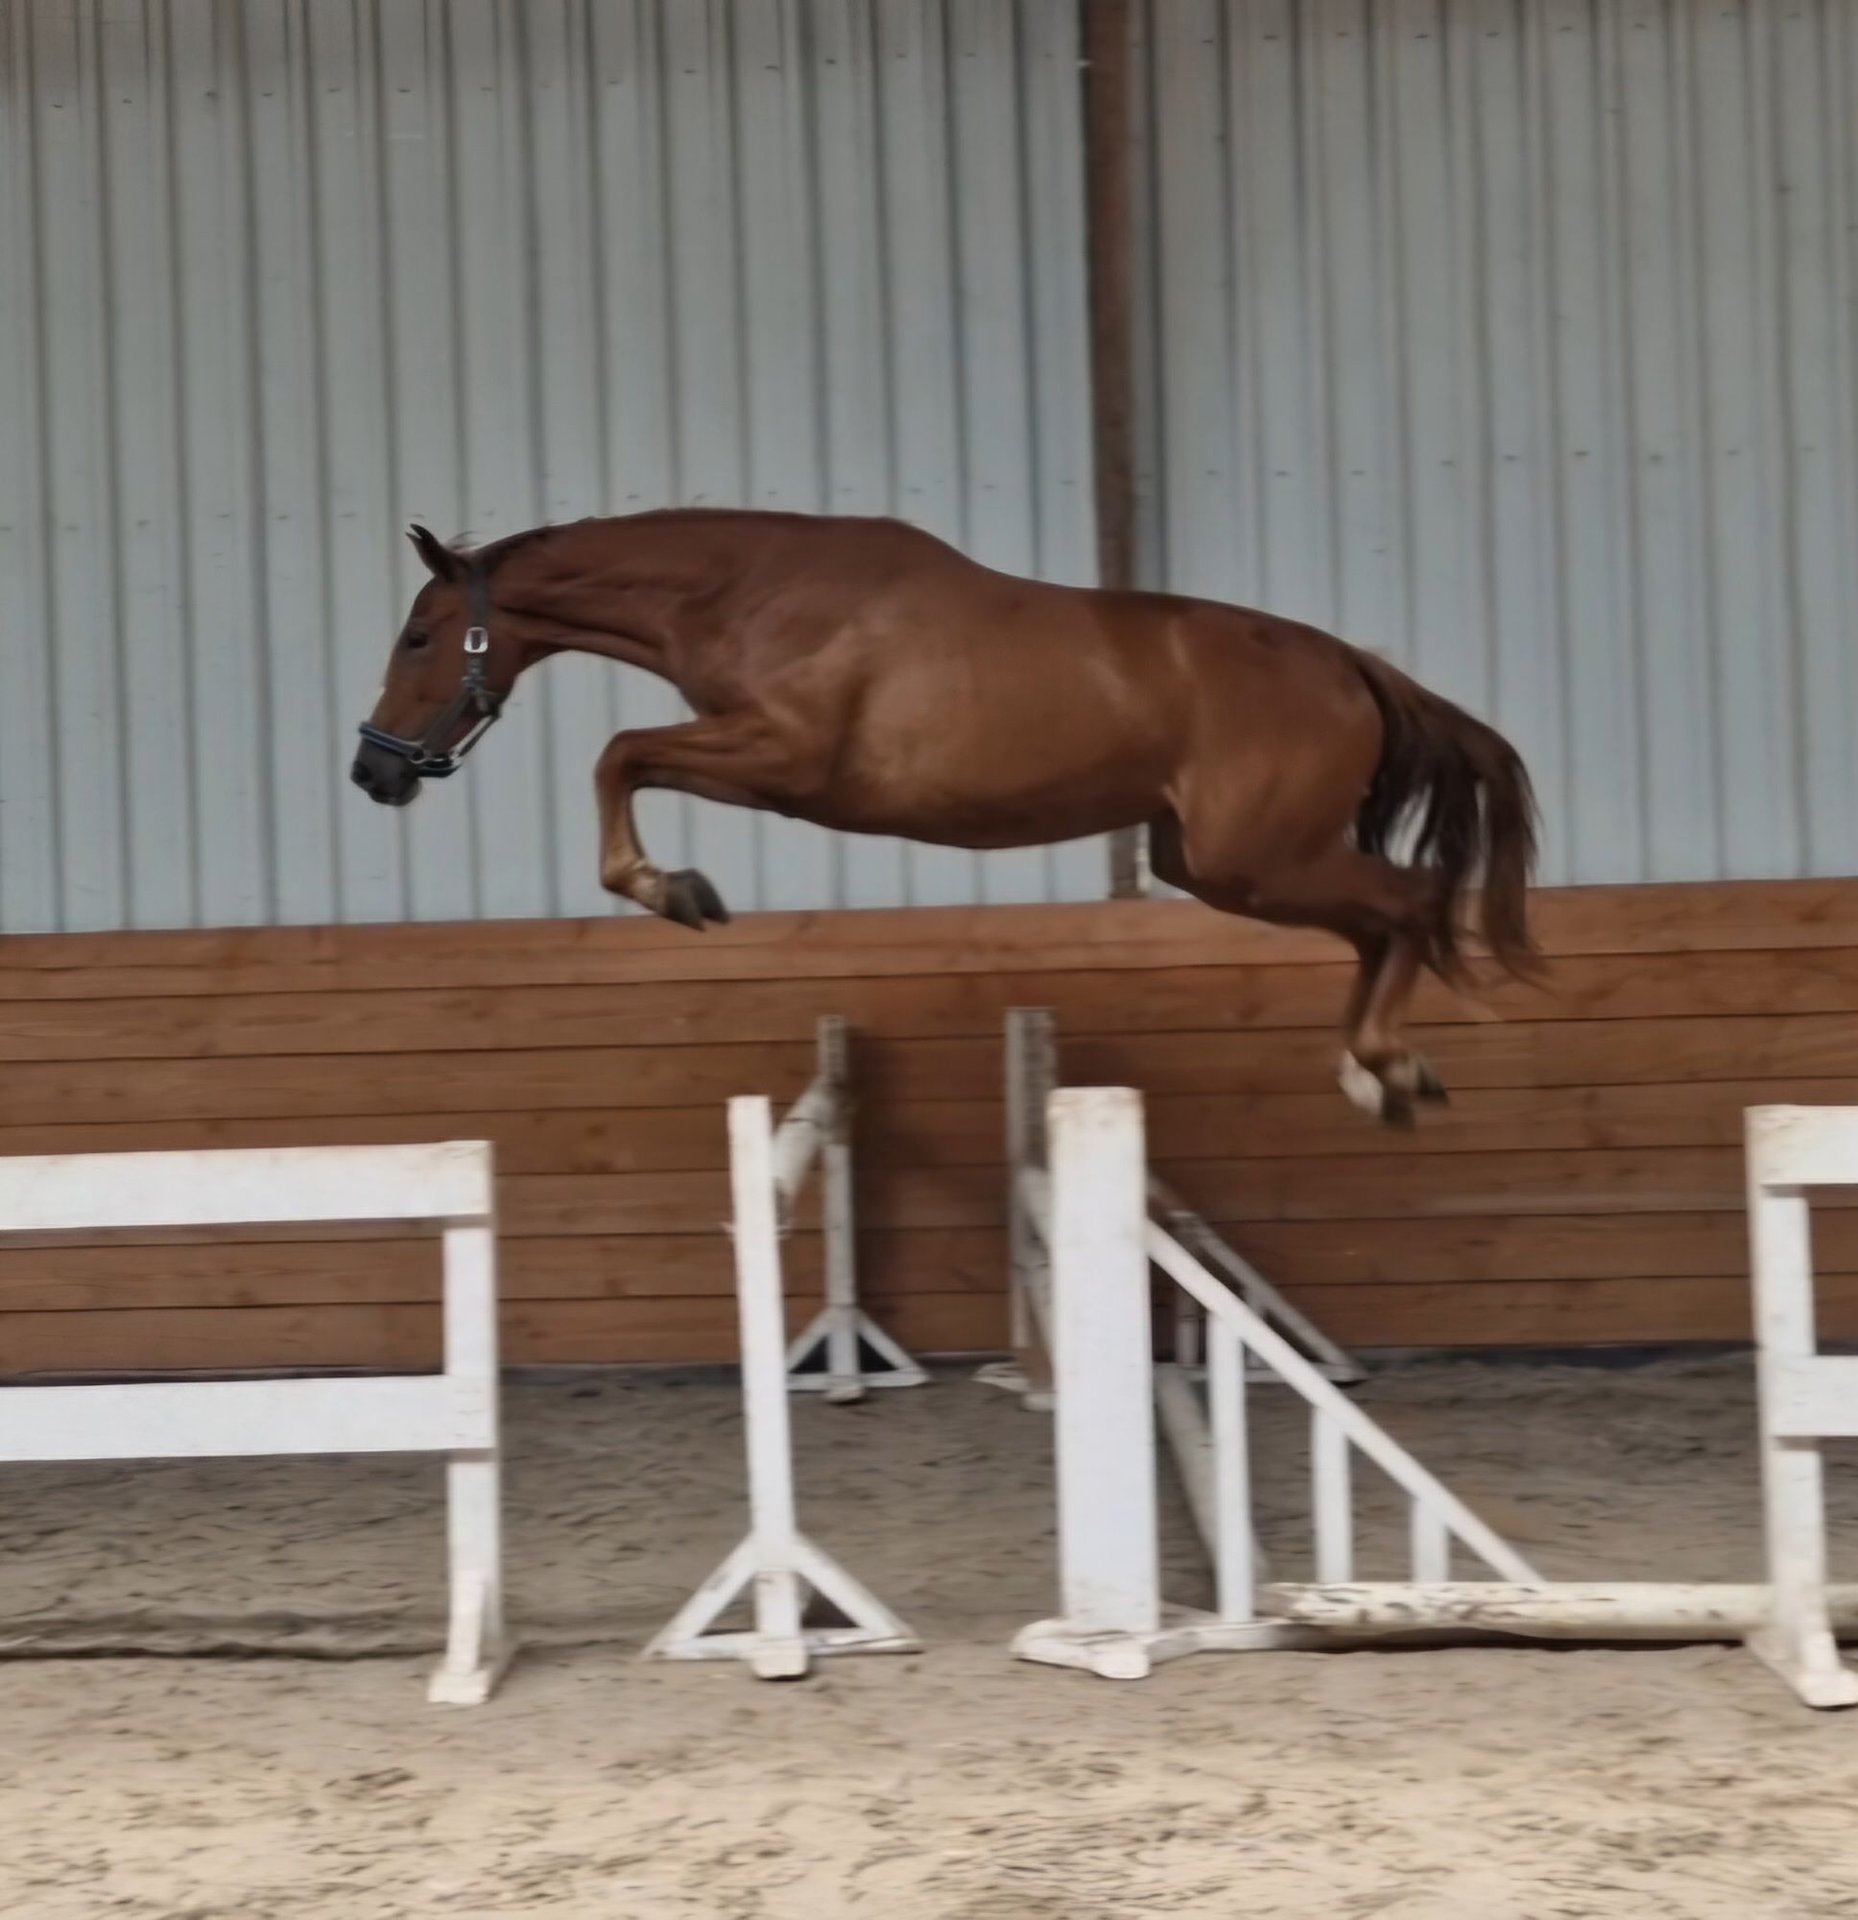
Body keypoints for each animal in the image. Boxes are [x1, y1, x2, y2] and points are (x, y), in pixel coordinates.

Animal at [353, 509, 1539, 1127]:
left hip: (1258, 858)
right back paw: (1374, 1074)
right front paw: (676, 889)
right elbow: (628, 759)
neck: (751, 592)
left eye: (418, 635)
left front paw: (673, 892)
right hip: (1221, 865)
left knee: (1414, 903)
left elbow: (619, 755)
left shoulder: (786, 758)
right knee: (1381, 924)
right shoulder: (769, 767)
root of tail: (1352, 667)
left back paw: (1388, 1065)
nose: (375, 771)